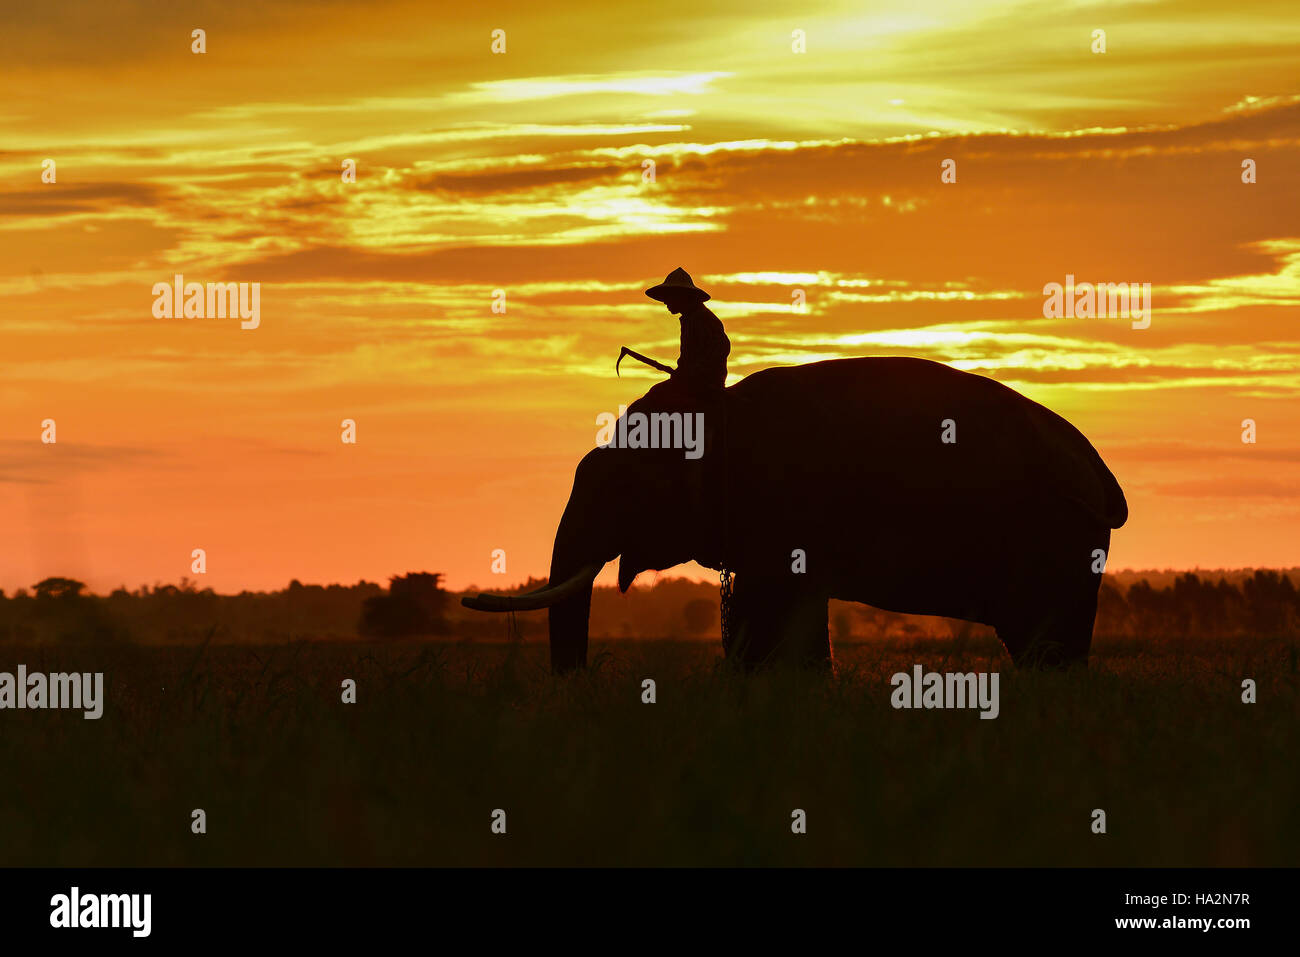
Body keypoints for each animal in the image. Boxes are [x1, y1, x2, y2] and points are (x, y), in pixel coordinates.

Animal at [462, 357, 1128, 672]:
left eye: (621, 484)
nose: (580, 682)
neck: (712, 412)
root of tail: (1101, 474)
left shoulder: (781, 505)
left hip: (1053, 540)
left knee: (1046, 645)